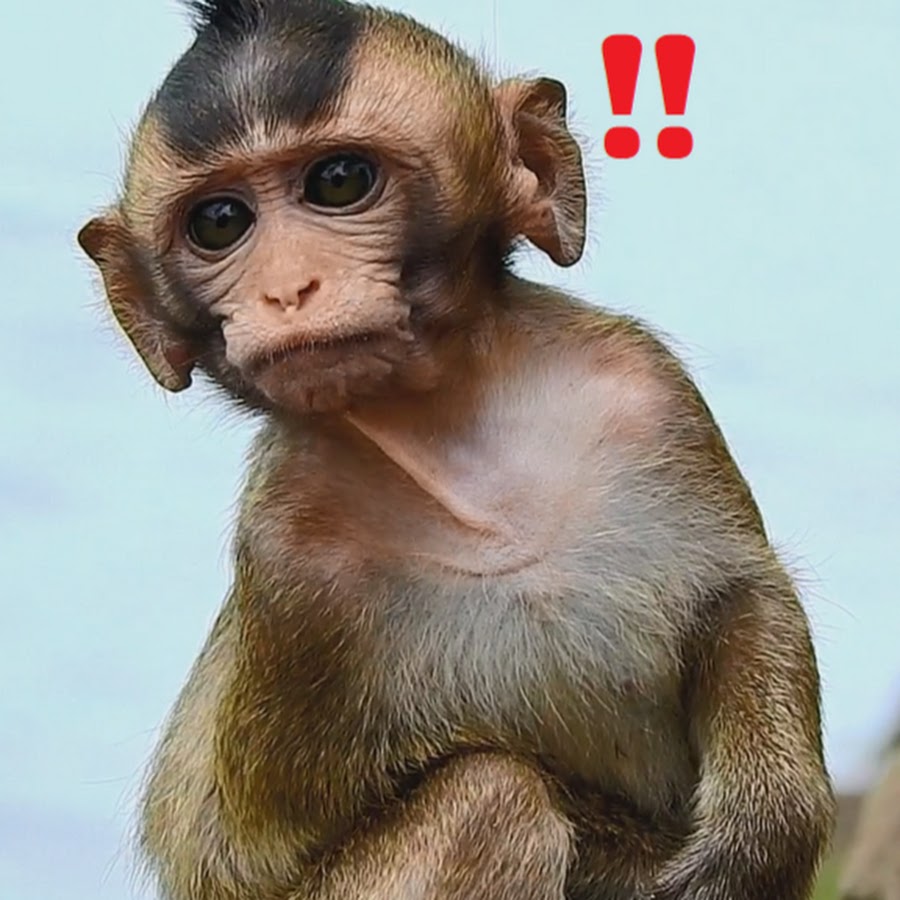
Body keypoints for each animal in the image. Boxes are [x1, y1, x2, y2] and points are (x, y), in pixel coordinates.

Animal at [77, 1, 836, 898]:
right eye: (219, 223)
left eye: (339, 181)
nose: (288, 290)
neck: (457, 448)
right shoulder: (293, 571)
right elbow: (263, 849)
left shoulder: (648, 393)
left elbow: (742, 597)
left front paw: (765, 825)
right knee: (494, 795)